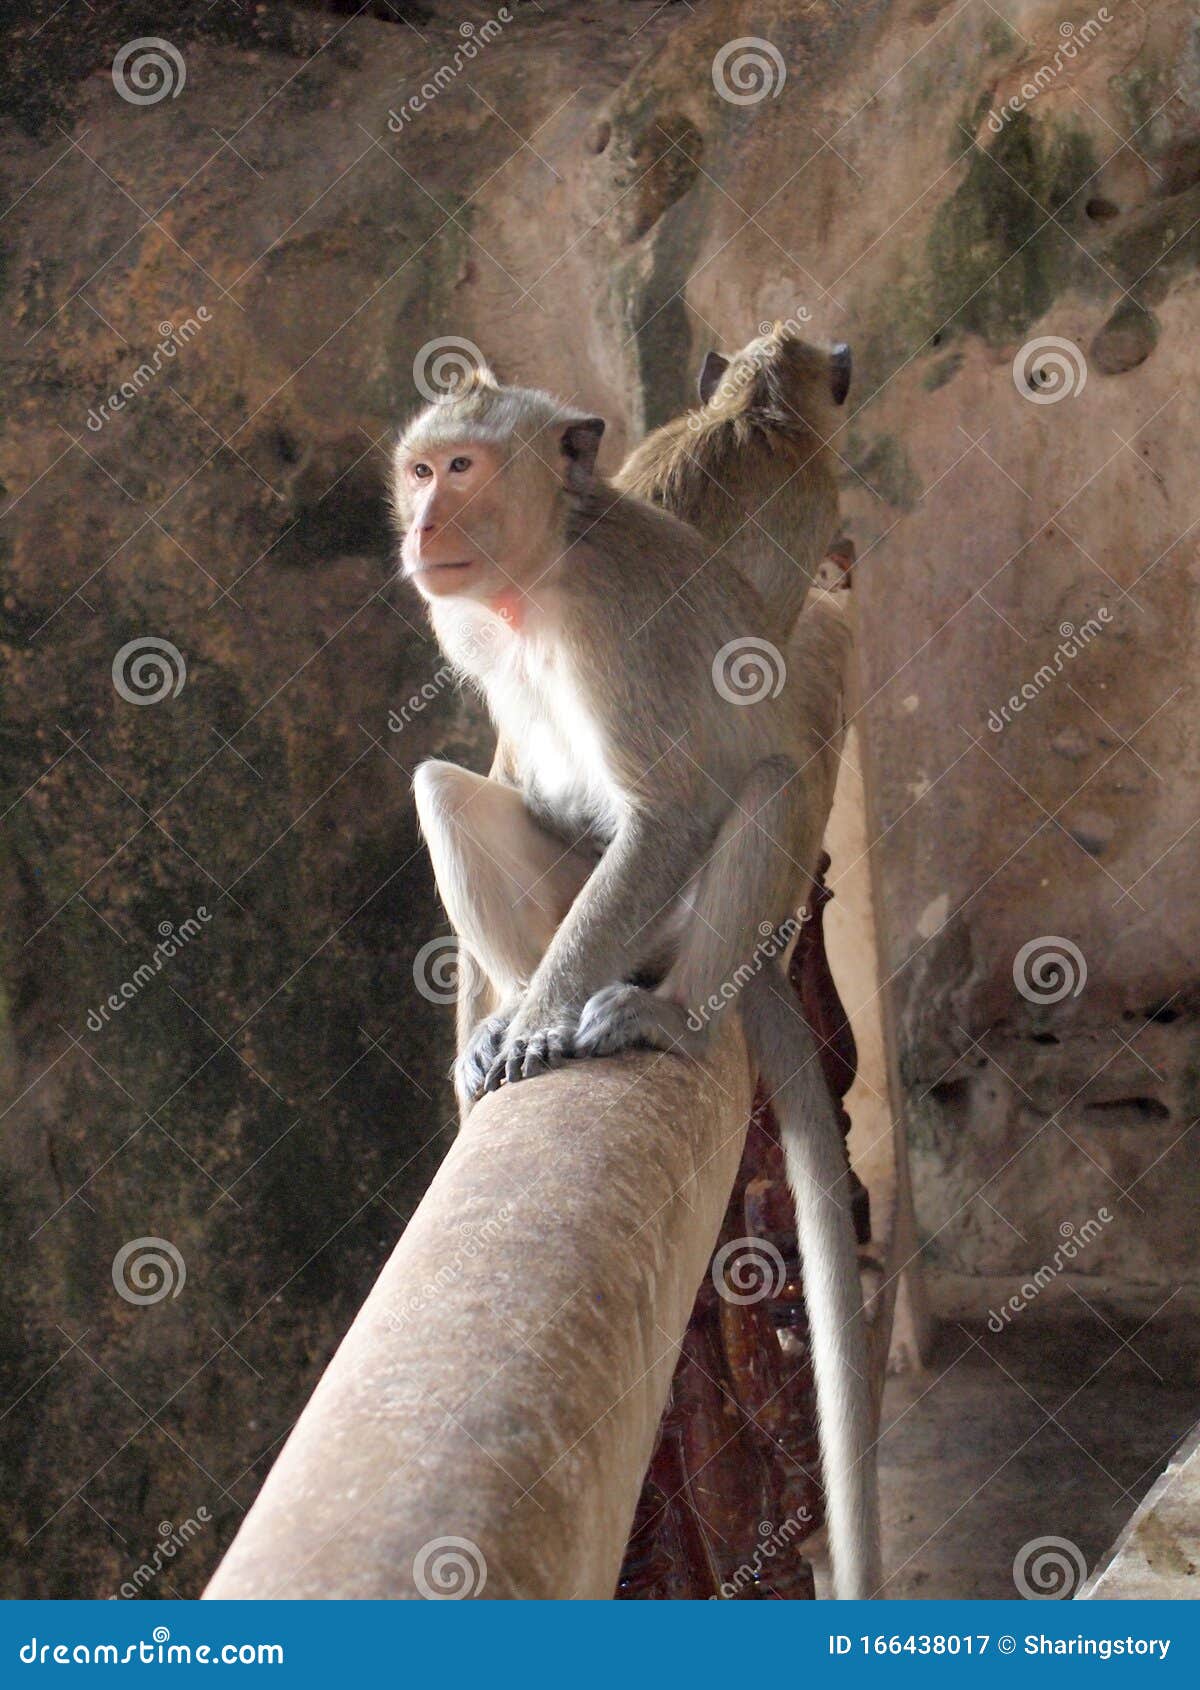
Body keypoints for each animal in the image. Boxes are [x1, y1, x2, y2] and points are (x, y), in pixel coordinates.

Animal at [394, 367, 880, 1600]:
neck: (536, 582)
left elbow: (670, 807)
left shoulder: (615, 612)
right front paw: (489, 1040)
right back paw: (528, 1005)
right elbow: (512, 777)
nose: (422, 526)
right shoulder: (470, 626)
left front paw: (531, 1030)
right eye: (420, 471)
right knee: (448, 790)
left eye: (462, 468)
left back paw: (663, 1013)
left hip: (693, 918)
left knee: (760, 785)